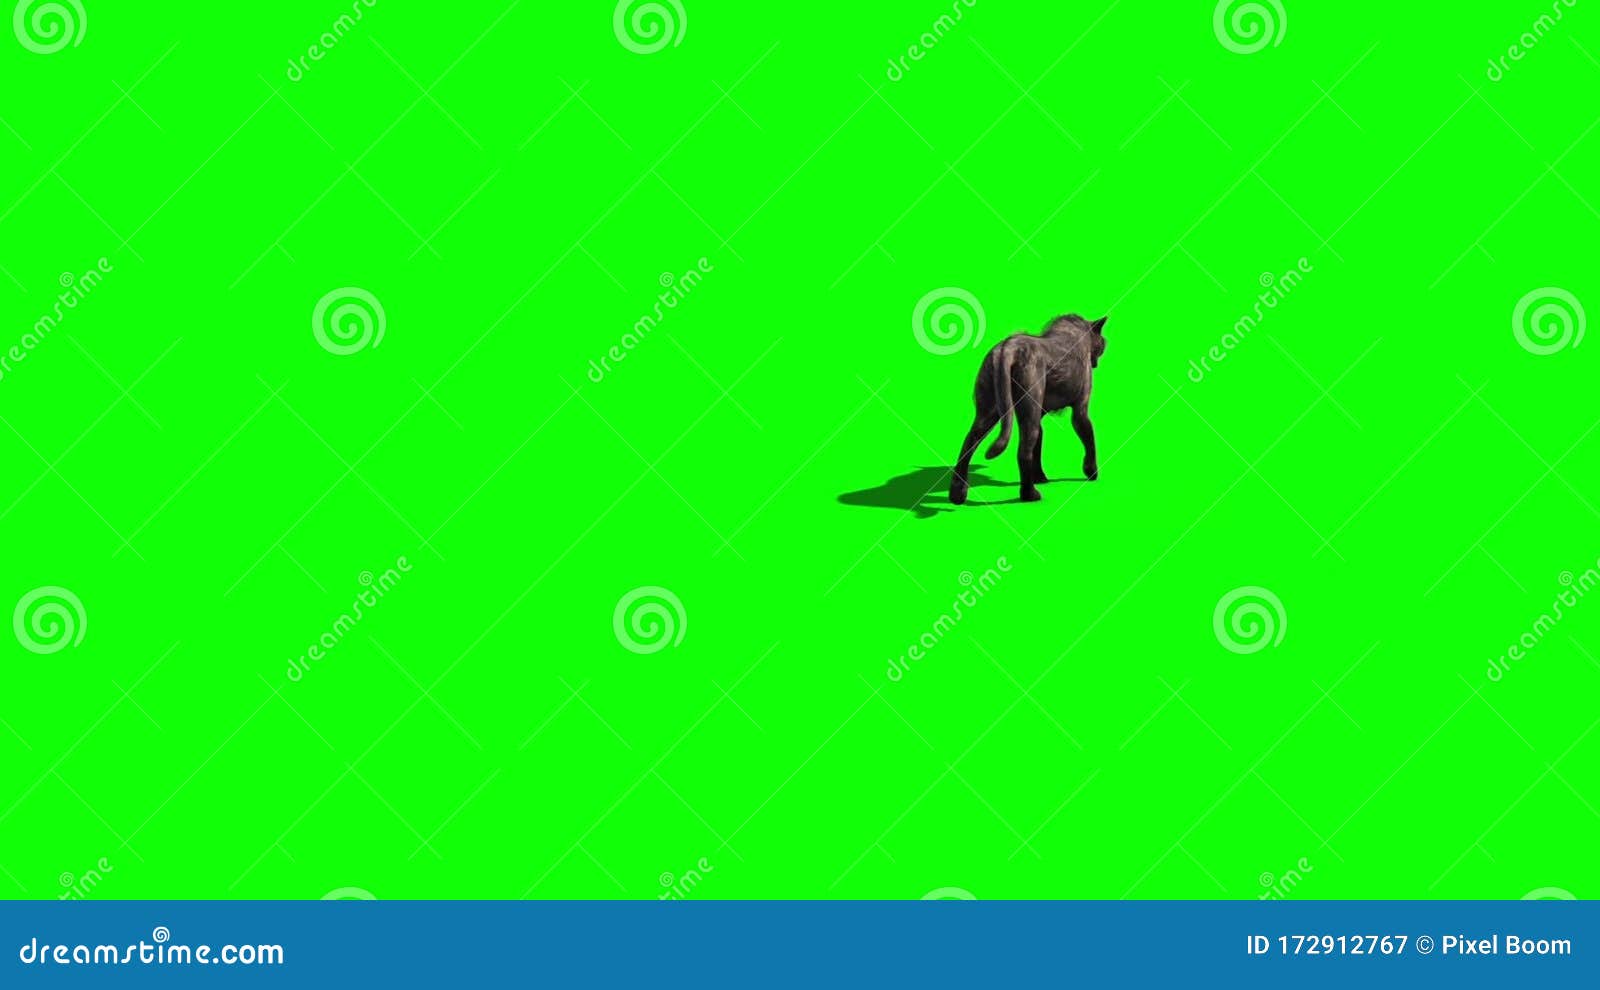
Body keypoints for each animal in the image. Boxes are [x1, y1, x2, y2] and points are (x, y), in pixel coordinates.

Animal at [949, 314, 1107, 505]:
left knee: (968, 444)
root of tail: (1008, 346)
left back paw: (957, 494)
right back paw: (1030, 495)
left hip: (989, 410)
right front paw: (1092, 472)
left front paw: (1040, 477)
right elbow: (1089, 438)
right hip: (1027, 410)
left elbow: (1038, 446)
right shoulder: (1080, 409)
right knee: (1023, 451)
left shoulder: (1040, 415)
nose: (1104, 345)